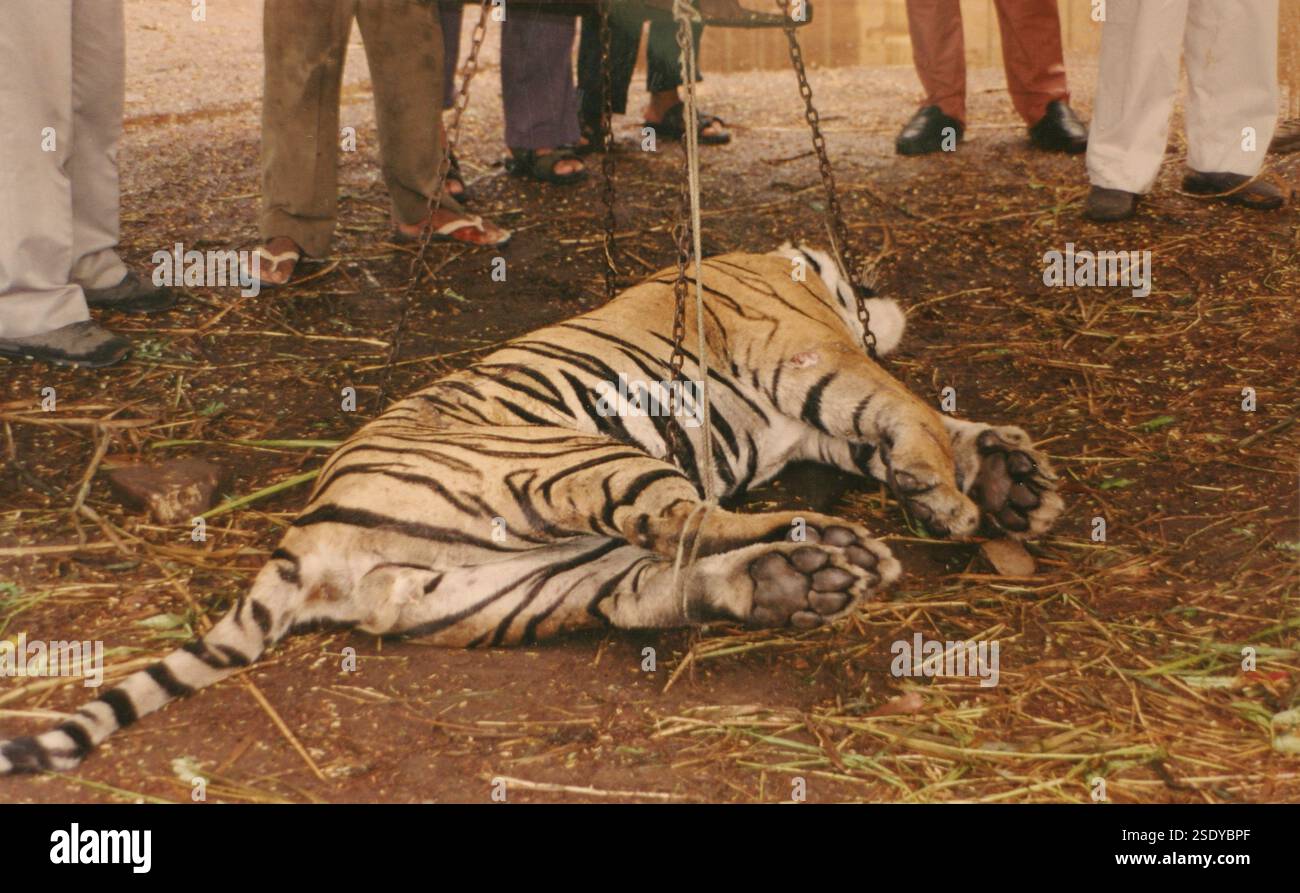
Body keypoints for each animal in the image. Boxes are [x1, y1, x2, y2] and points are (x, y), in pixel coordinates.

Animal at [0, 244, 1062, 775]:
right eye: (864, 280)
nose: (891, 293)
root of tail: (307, 533)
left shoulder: (812, 421)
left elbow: (935, 426)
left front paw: (1014, 477)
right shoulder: (814, 362)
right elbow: (908, 409)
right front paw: (958, 495)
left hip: (520, 586)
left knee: (653, 588)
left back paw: (796, 581)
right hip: (577, 461)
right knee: (685, 524)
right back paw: (836, 555)